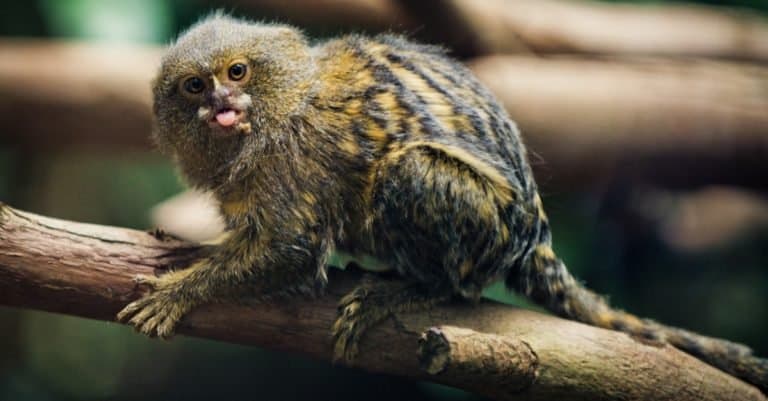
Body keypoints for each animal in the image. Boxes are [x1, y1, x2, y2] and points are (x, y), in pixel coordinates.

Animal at [116, 13, 767, 392]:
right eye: (194, 86)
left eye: (237, 72)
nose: (221, 103)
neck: (283, 107)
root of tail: (534, 236)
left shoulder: (293, 165)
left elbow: (290, 251)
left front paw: (180, 292)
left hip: (476, 223)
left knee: (425, 202)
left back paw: (410, 289)